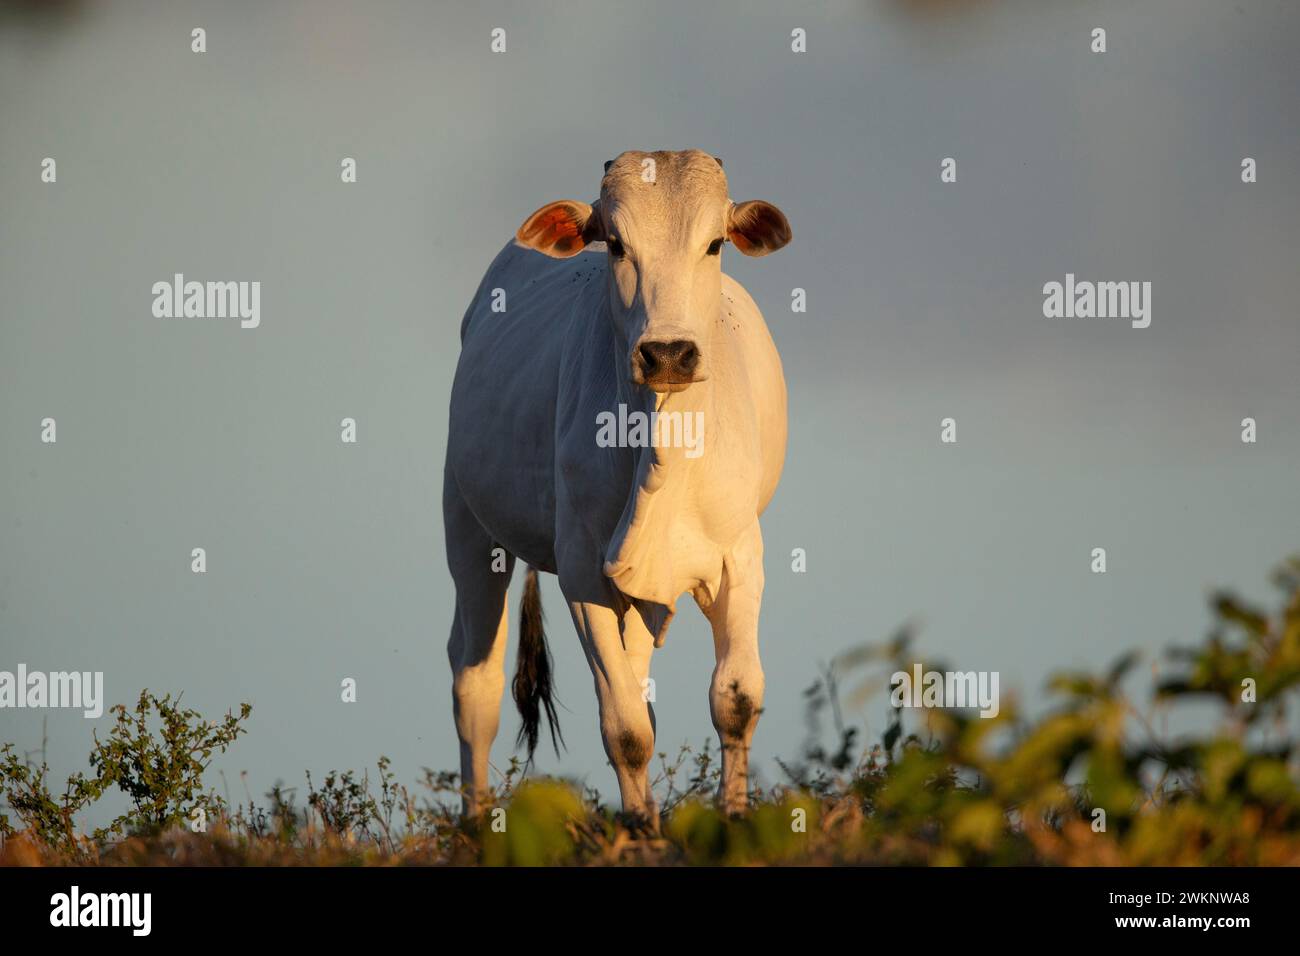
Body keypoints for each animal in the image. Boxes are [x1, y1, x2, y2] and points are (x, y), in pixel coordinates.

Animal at [444, 149, 791, 824]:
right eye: (615, 244)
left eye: (715, 244)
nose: (669, 354)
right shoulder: (582, 572)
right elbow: (626, 727)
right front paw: (641, 829)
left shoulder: (741, 556)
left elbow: (735, 698)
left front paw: (734, 817)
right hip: (467, 525)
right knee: (475, 681)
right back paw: (474, 825)